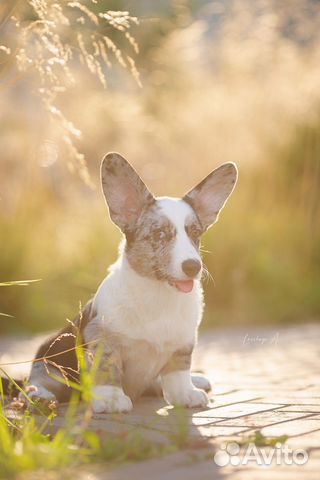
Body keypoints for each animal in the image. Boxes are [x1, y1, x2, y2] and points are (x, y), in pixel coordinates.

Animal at [2, 153, 238, 412]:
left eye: (195, 234)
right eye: (159, 235)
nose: (193, 267)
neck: (159, 294)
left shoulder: (183, 342)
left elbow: (179, 370)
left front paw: (186, 394)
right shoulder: (102, 339)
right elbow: (108, 368)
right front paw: (112, 399)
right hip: (50, 361)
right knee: (35, 382)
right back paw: (40, 396)